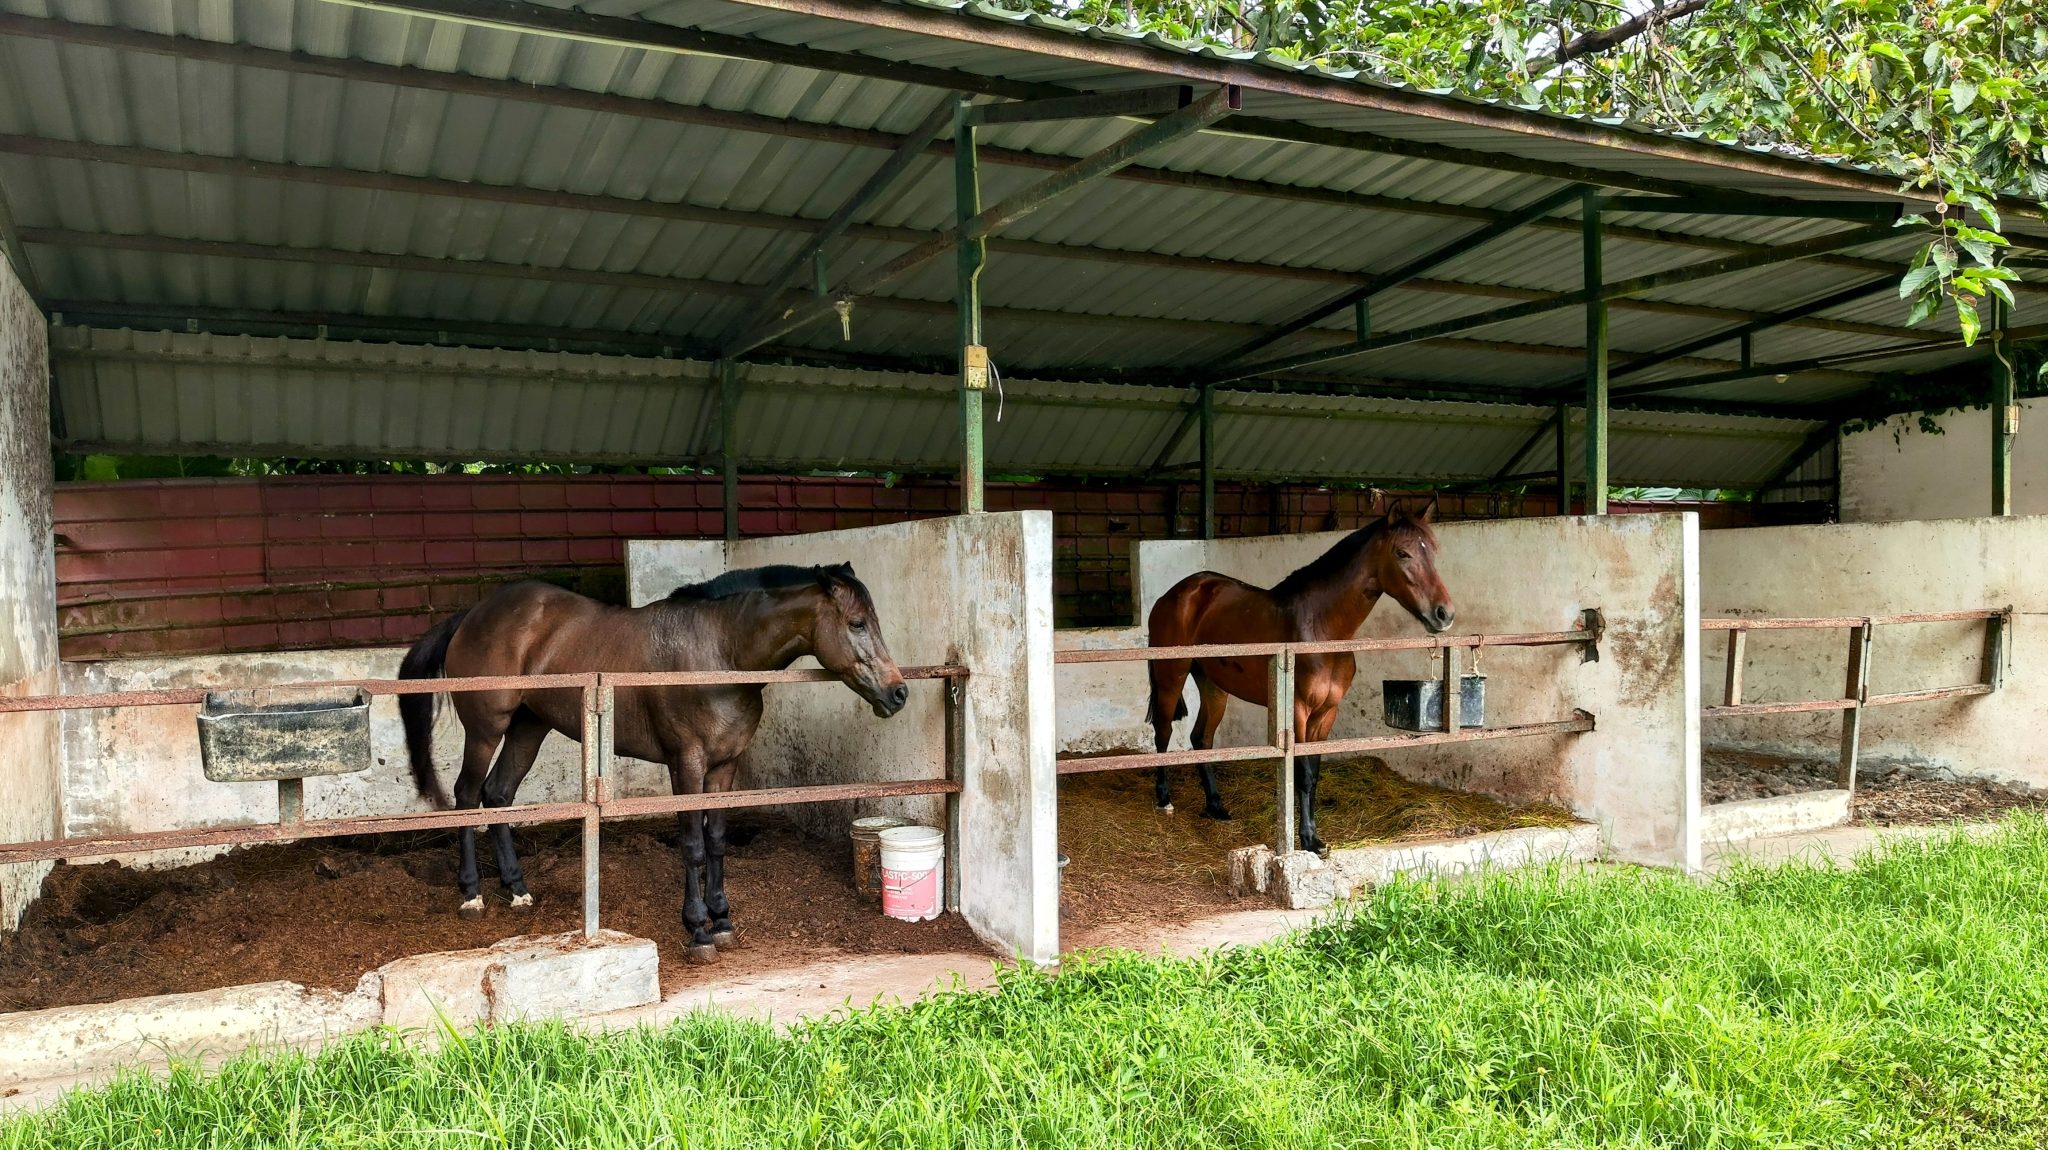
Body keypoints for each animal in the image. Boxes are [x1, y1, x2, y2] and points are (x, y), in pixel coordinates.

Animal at [397, 563, 907, 964]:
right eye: (857, 623)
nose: (898, 692)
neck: (719, 653)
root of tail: (472, 615)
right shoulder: (687, 764)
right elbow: (693, 845)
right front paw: (699, 930)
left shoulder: (725, 767)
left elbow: (717, 842)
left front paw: (723, 920)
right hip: (487, 729)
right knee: (467, 796)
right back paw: (472, 894)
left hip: (528, 727)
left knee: (498, 794)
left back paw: (517, 889)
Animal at [1144, 497, 1455, 855]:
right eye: (1402, 553)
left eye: (1433, 551)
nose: (1444, 613)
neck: (1320, 630)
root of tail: (1177, 594)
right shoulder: (1298, 710)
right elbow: (1302, 774)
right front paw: (1307, 840)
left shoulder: (1326, 713)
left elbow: (1314, 773)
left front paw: (1314, 835)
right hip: (1171, 675)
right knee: (1164, 731)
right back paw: (1164, 800)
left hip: (1214, 685)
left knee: (1202, 739)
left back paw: (1215, 806)